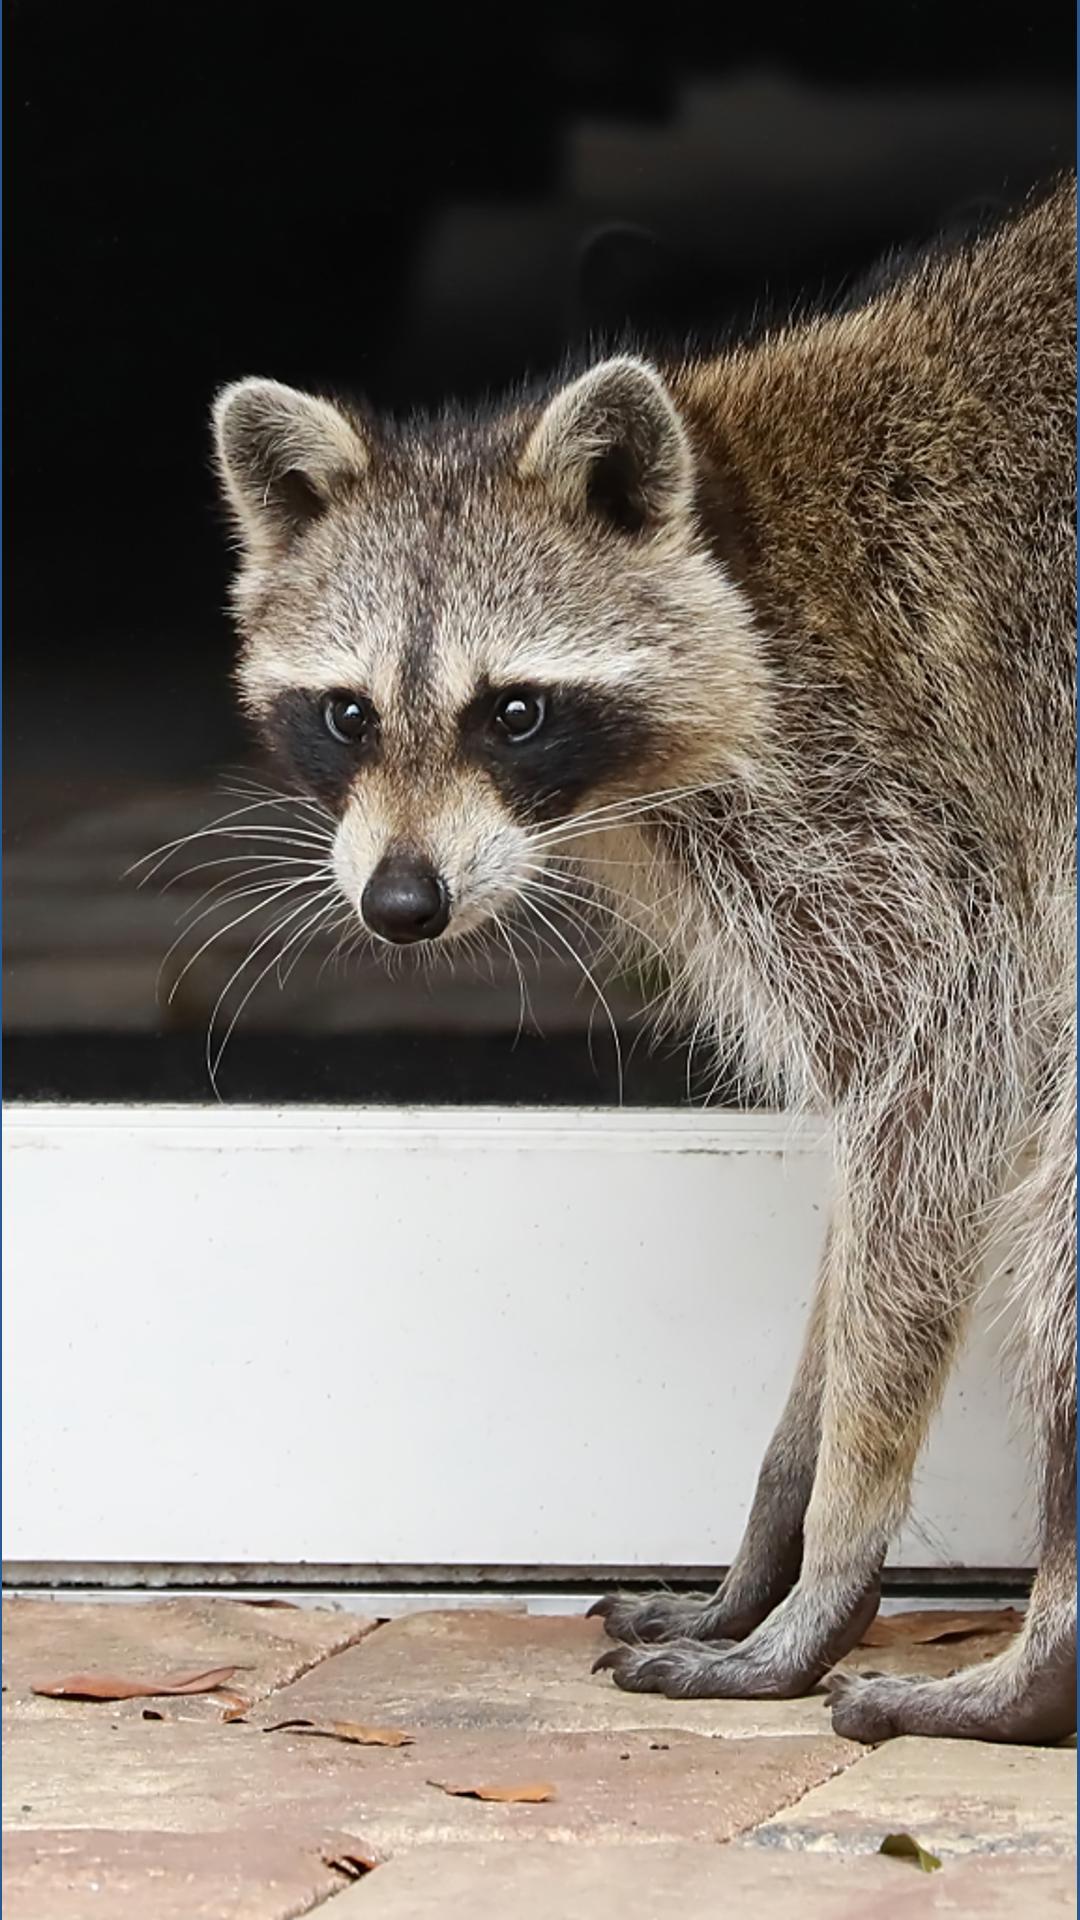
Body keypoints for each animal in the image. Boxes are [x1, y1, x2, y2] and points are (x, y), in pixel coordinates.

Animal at [212, 176, 1076, 1743]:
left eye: (514, 710)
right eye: (348, 714)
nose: (403, 905)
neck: (734, 552)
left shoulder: (890, 813)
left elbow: (939, 1085)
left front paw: (831, 1557)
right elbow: (869, 1200)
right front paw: (778, 1515)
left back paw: (1041, 1659)